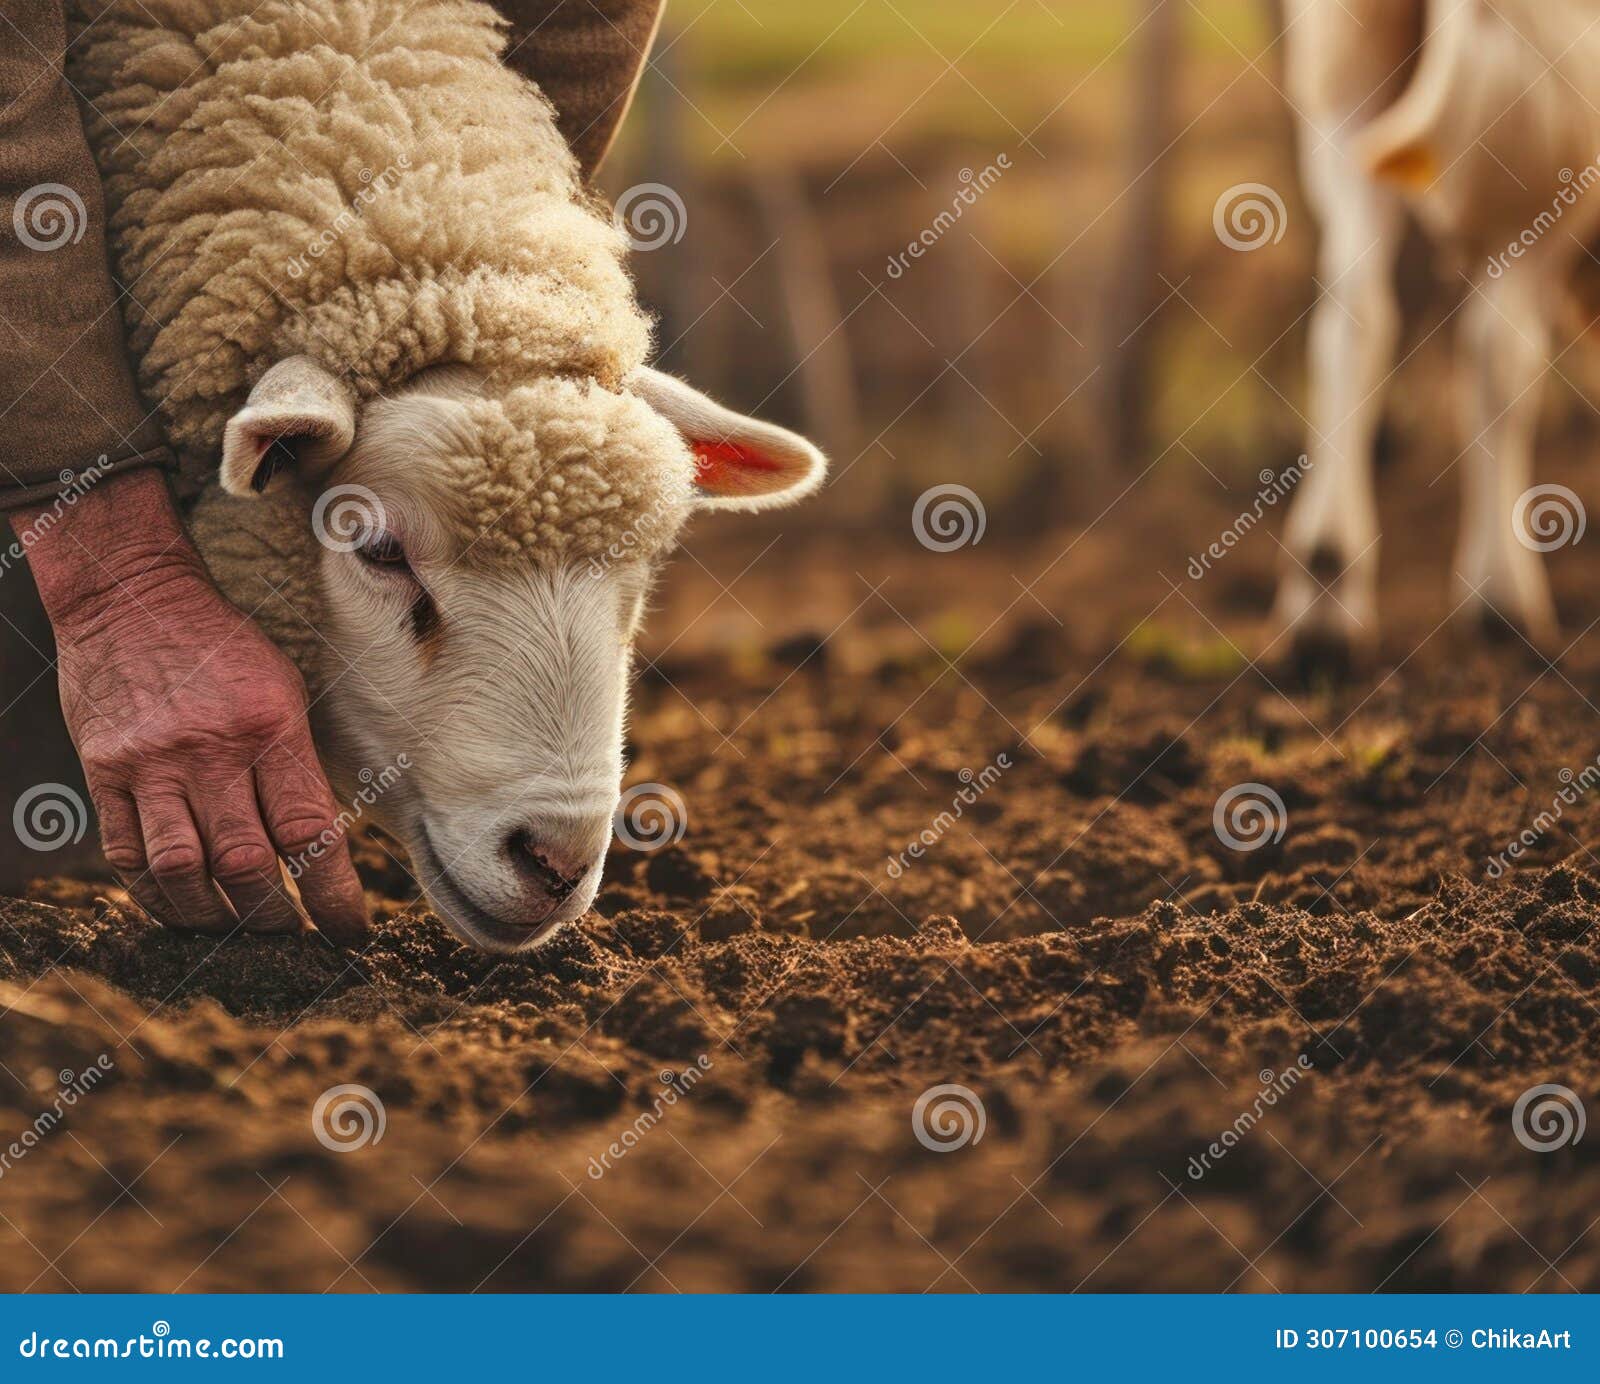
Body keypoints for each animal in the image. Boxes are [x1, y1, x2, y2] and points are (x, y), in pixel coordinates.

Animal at [1275, 0, 1600, 665]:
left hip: (1346, 81)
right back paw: (1503, 598)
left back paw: (1326, 590)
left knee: (1353, 311)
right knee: (1501, 350)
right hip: (1556, 119)